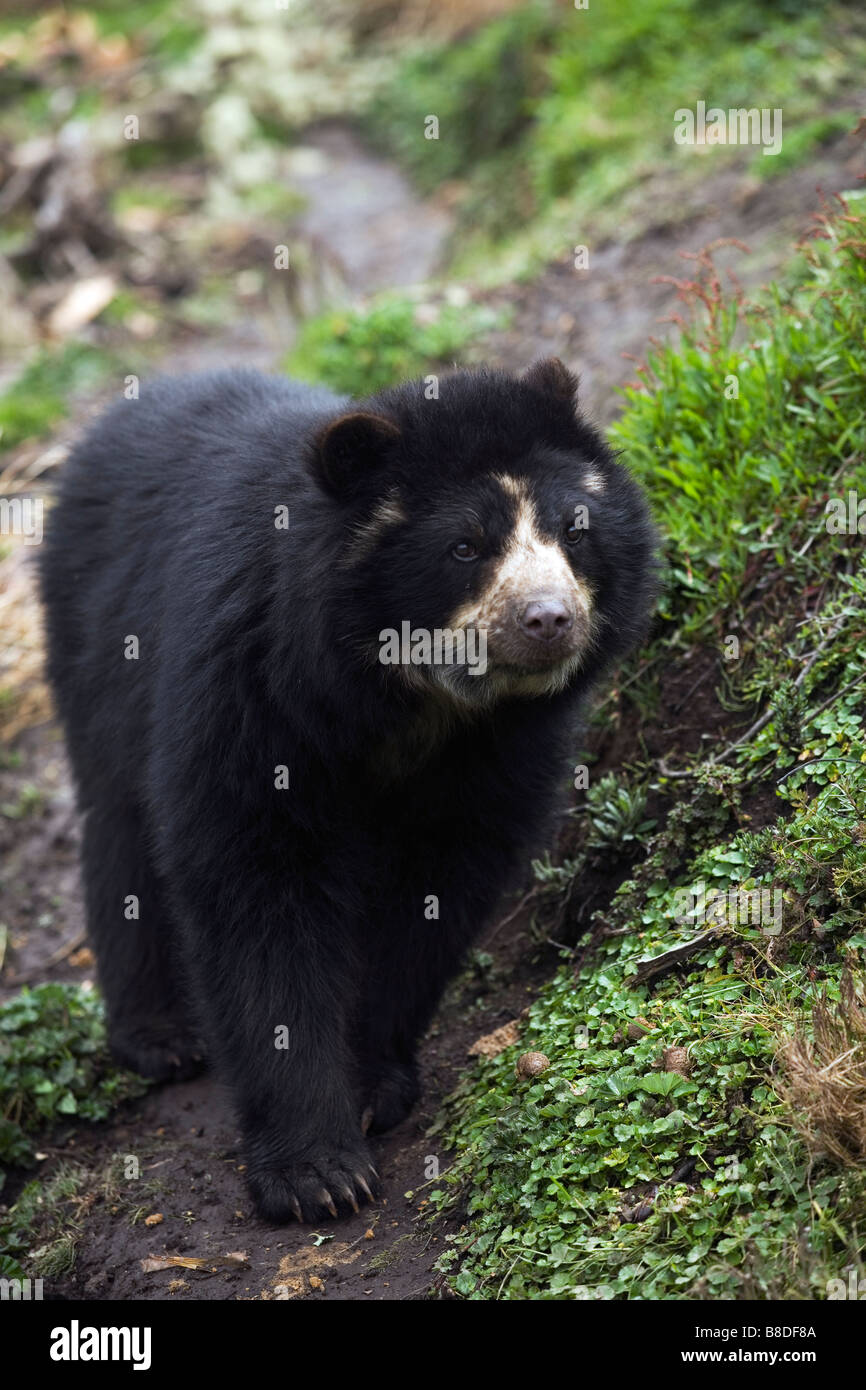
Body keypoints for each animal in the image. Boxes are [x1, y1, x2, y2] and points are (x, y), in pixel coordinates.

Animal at [40, 358, 657, 1224]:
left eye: (574, 528)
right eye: (464, 546)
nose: (550, 620)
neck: (409, 696)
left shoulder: (498, 751)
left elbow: (437, 892)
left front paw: (371, 1086)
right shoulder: (252, 686)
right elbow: (254, 888)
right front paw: (317, 1174)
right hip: (96, 643)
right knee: (122, 827)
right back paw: (160, 1038)